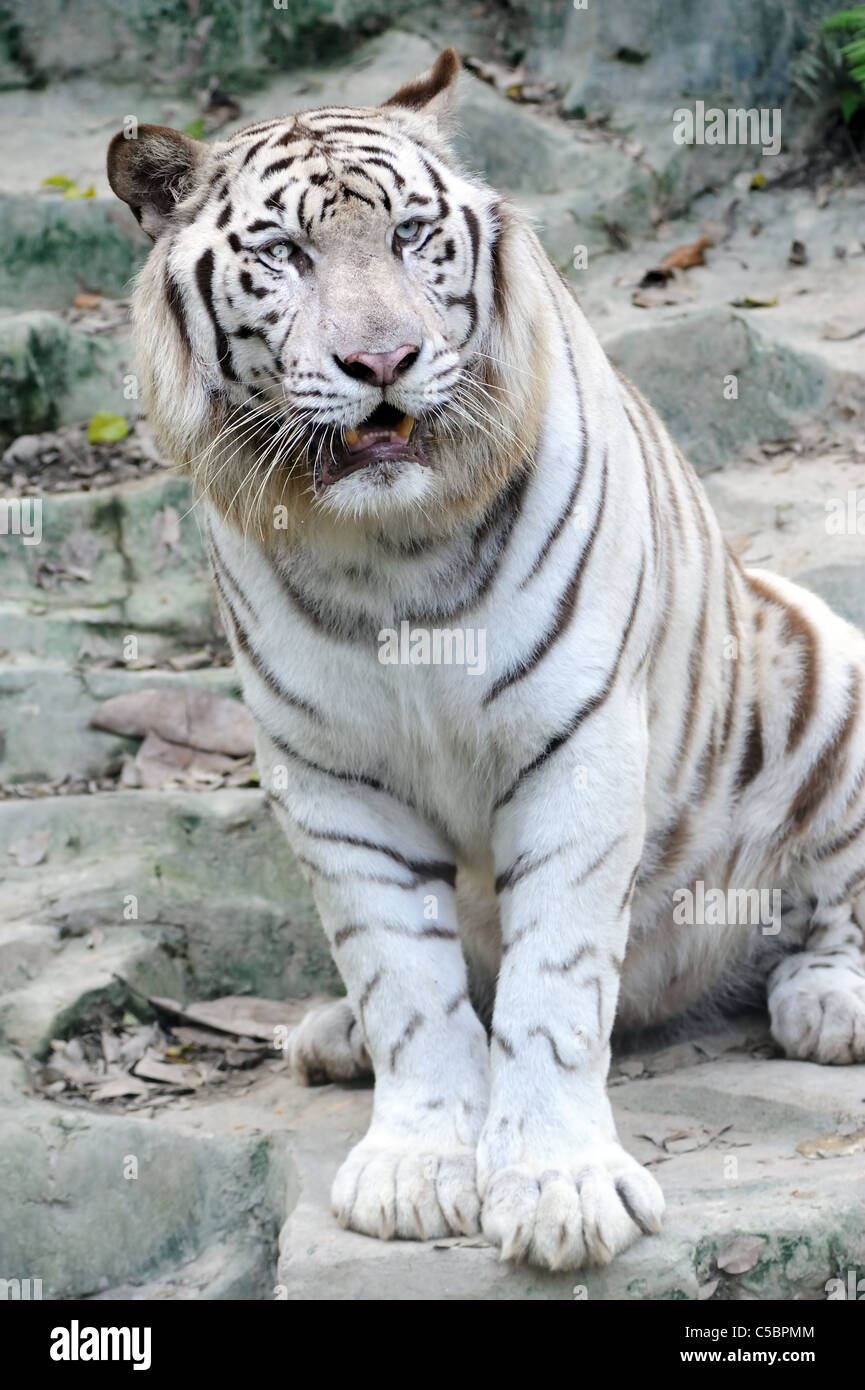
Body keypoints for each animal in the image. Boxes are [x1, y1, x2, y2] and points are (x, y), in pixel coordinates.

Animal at [107, 46, 865, 1274]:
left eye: (413, 235)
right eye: (284, 254)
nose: (382, 359)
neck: (386, 553)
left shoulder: (577, 738)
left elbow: (554, 986)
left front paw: (560, 1190)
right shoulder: (330, 776)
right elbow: (401, 980)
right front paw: (417, 1165)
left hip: (822, 654)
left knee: (831, 896)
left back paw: (827, 1002)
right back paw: (331, 1035)